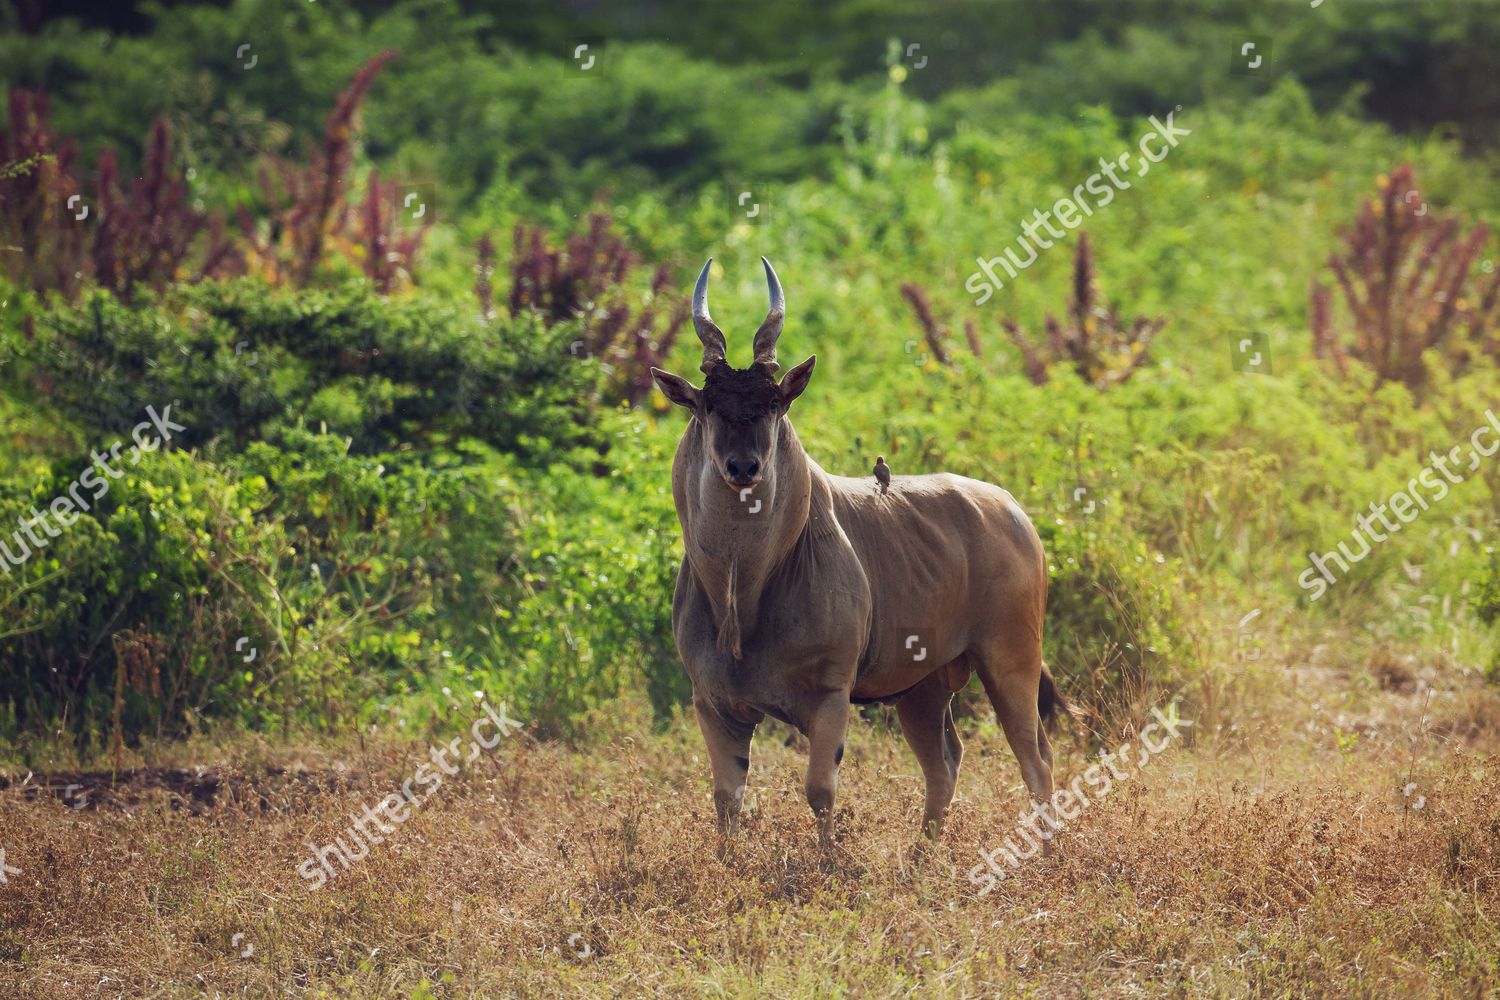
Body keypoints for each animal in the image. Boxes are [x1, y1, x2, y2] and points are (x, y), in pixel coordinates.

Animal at [650, 258, 1068, 849]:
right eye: (708, 404)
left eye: (775, 402)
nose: (743, 467)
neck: (743, 595)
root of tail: (1016, 514)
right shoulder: (713, 705)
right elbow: (726, 801)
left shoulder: (830, 695)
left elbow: (820, 790)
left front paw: (828, 862)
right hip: (922, 692)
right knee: (946, 761)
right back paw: (921, 855)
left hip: (1011, 660)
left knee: (1035, 757)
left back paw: (1045, 852)